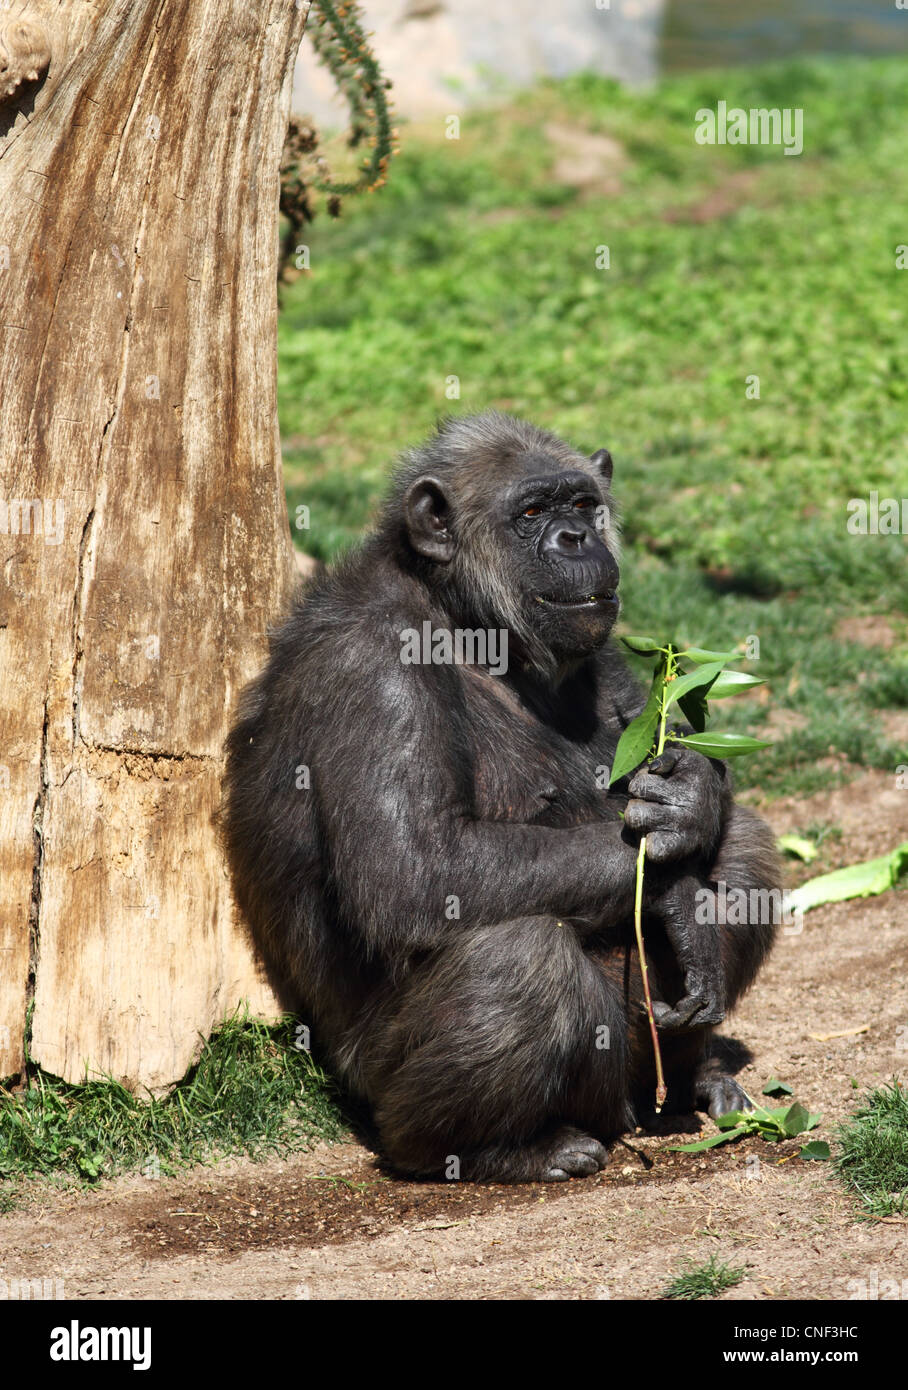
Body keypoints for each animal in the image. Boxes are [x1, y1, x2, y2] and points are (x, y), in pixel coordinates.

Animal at [223, 411, 780, 1182]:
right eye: (532, 514)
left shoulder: (605, 646)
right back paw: (501, 1149)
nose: (576, 538)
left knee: (747, 846)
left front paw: (692, 796)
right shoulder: (373, 673)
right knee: (518, 956)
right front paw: (676, 893)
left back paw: (703, 1078)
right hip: (425, 1088)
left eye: (581, 503)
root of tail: (632, 1110)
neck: (467, 623)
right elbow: (418, 871)